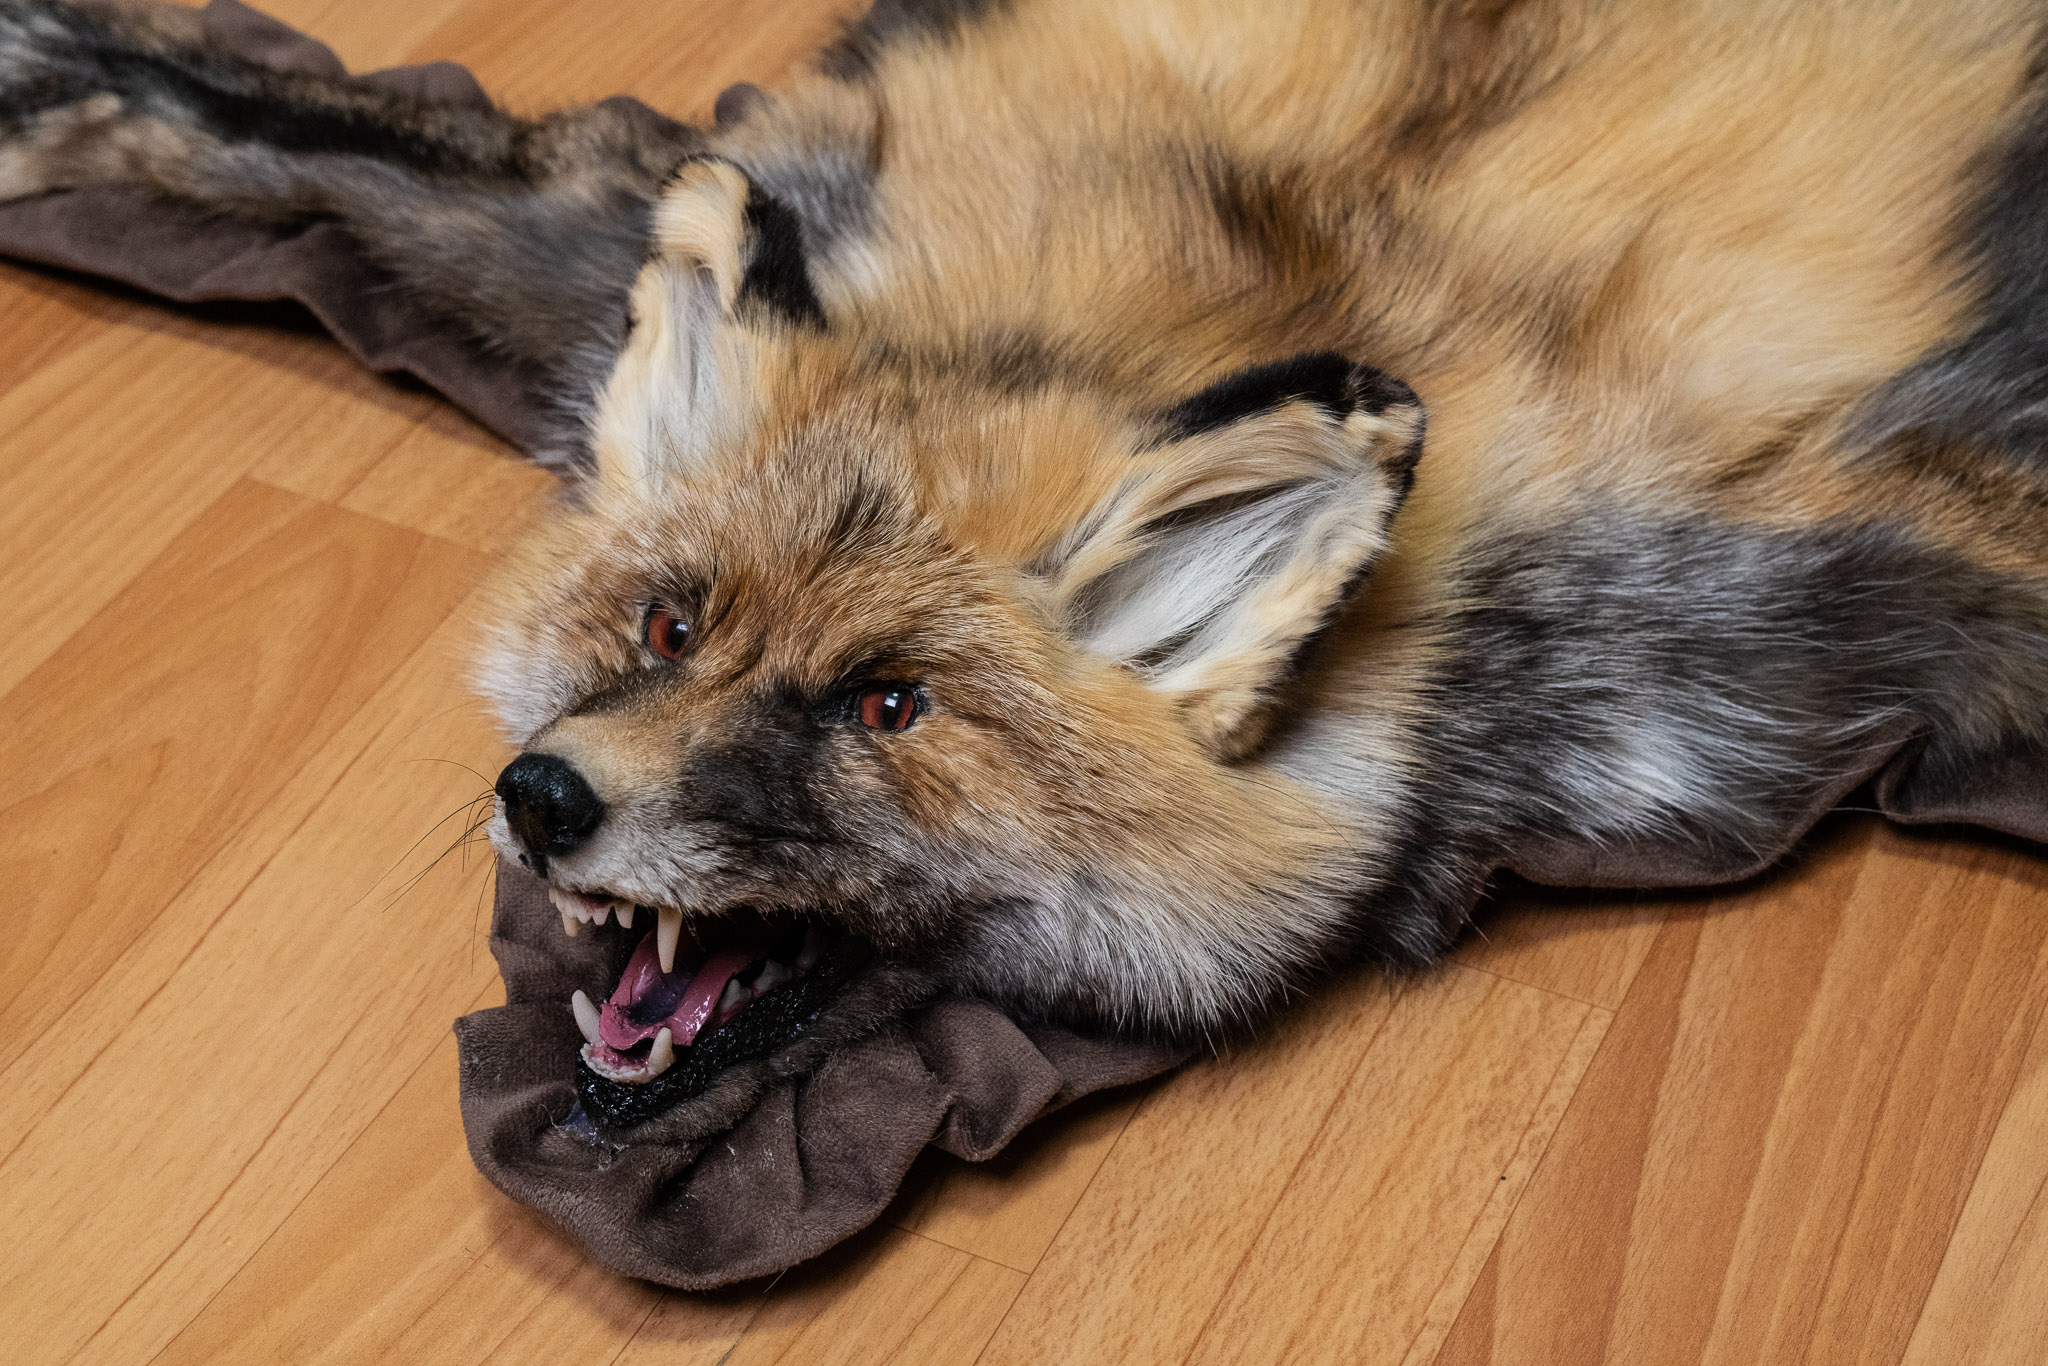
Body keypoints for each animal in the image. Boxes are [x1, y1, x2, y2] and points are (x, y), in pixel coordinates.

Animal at [7, 0, 2048, 1122]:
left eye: (889, 707)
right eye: (665, 623)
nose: (546, 795)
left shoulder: (1807, 600)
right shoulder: (762, 196)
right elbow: (372, 141)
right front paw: (70, 79)